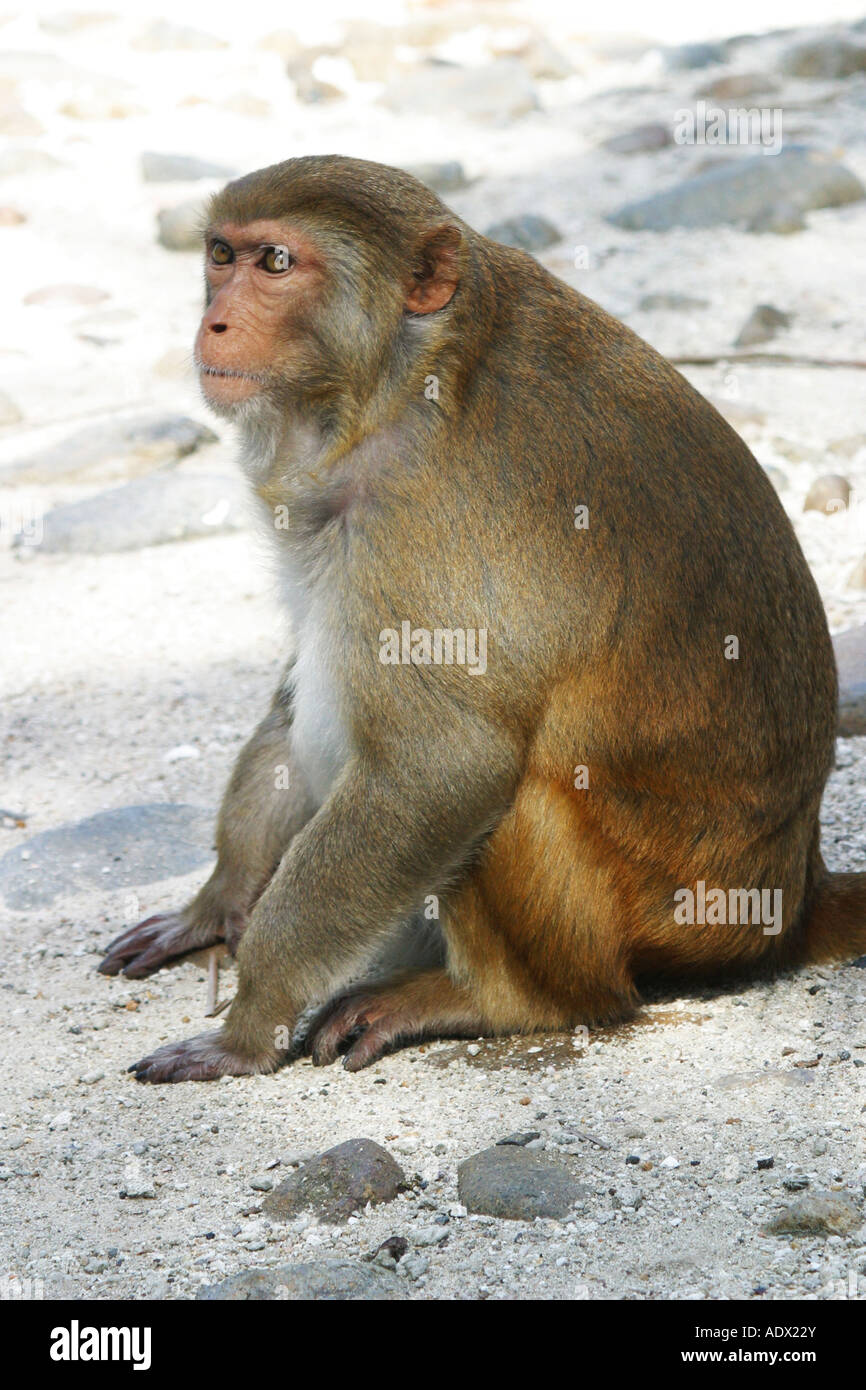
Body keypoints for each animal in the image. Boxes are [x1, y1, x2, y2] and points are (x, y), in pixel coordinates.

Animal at [98, 154, 866, 1082]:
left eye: (275, 263)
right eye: (221, 255)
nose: (214, 321)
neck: (398, 380)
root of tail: (790, 902)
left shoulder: (422, 513)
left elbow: (444, 765)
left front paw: (248, 1027)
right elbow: (293, 698)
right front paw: (214, 906)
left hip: (660, 914)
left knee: (517, 785)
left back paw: (508, 1002)